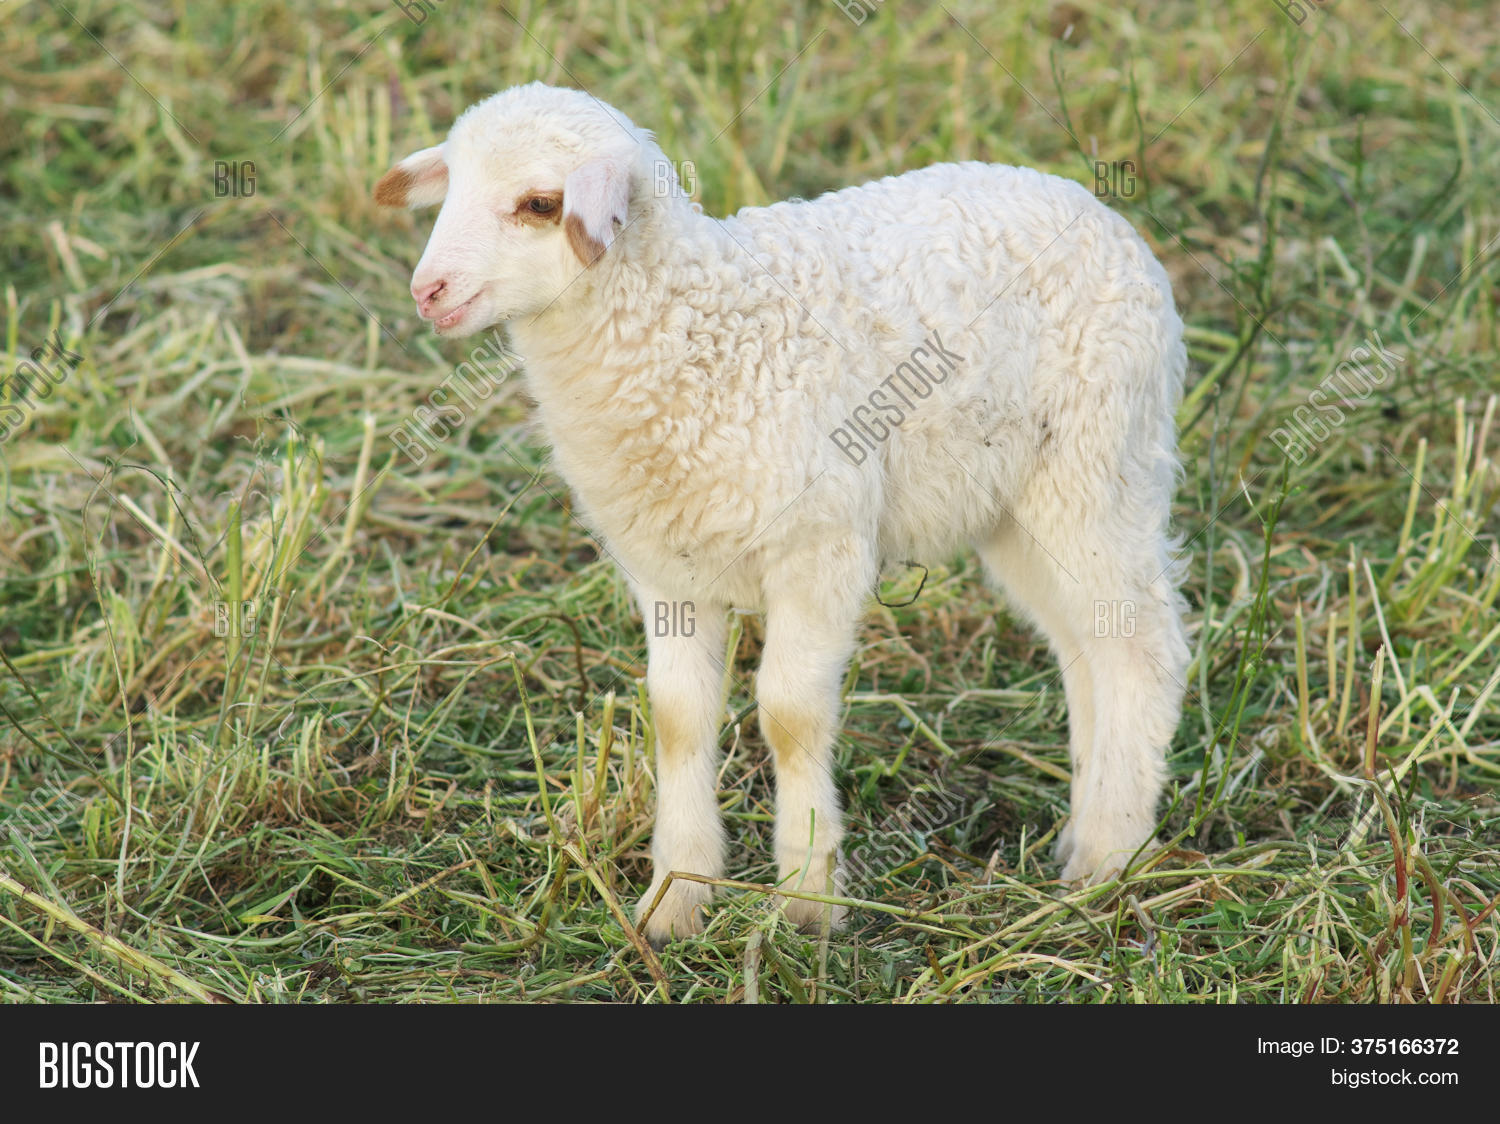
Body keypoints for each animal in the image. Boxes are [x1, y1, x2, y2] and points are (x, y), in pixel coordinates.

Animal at [375, 82, 1190, 945]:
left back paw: (1110, 858)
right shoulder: (667, 568)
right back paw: (1085, 832)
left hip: (1100, 462)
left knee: (1141, 648)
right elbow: (678, 718)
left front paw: (807, 896)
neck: (697, 331)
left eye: (538, 203)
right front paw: (676, 900)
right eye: (453, 183)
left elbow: (791, 717)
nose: (428, 292)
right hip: (1019, 509)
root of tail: (1094, 209)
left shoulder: (820, 549)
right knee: (1085, 647)